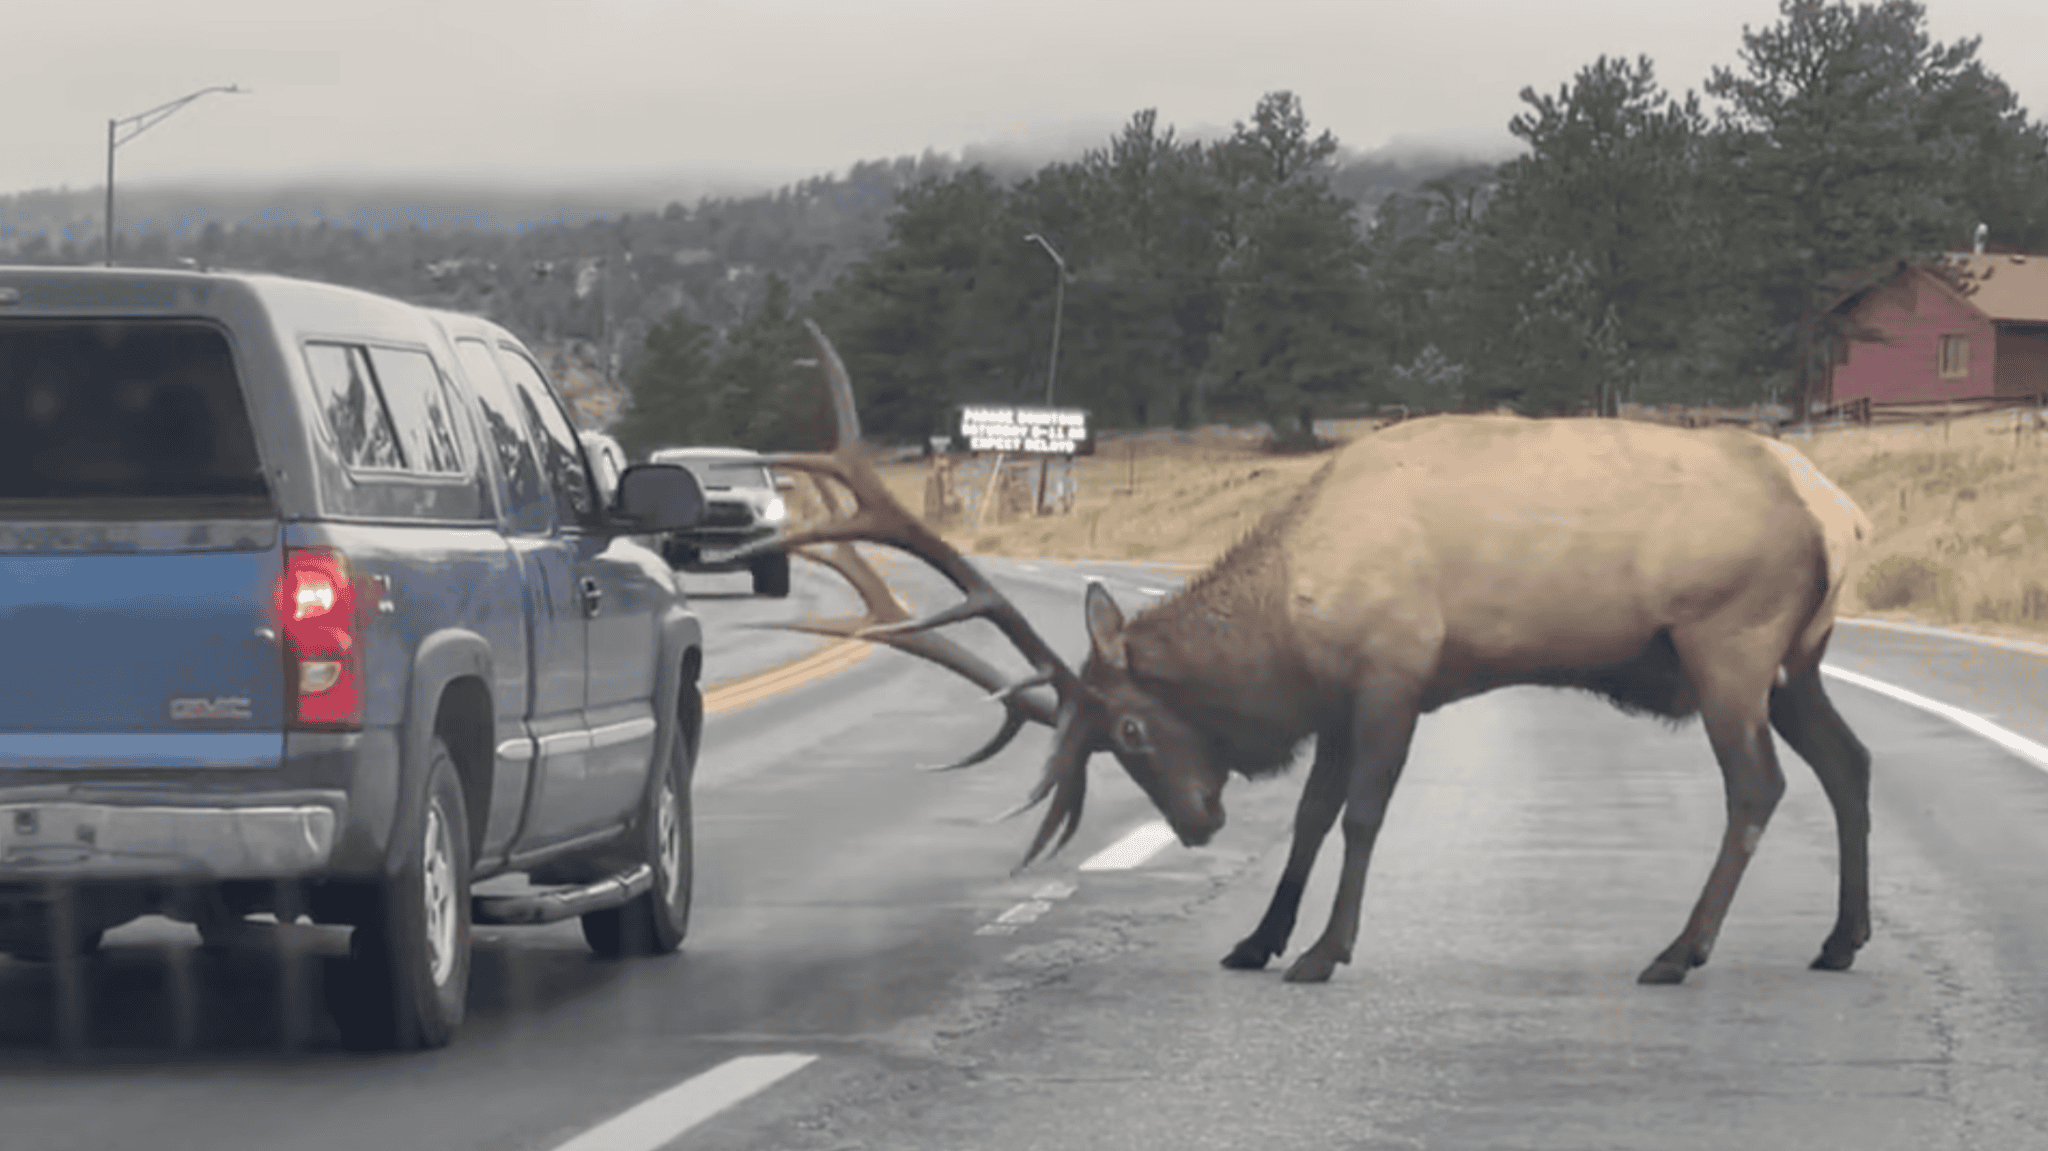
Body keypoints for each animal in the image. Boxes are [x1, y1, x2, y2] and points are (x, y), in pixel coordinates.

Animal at [739, 319, 1876, 987]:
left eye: (1130, 726)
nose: (1194, 825)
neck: (1287, 617)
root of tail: (1836, 511)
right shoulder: (1337, 698)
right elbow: (1310, 813)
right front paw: (1256, 937)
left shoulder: (1394, 673)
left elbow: (1362, 814)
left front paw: (1324, 950)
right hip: (1795, 660)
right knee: (1847, 762)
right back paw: (1837, 938)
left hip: (1726, 640)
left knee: (1758, 786)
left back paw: (1680, 949)